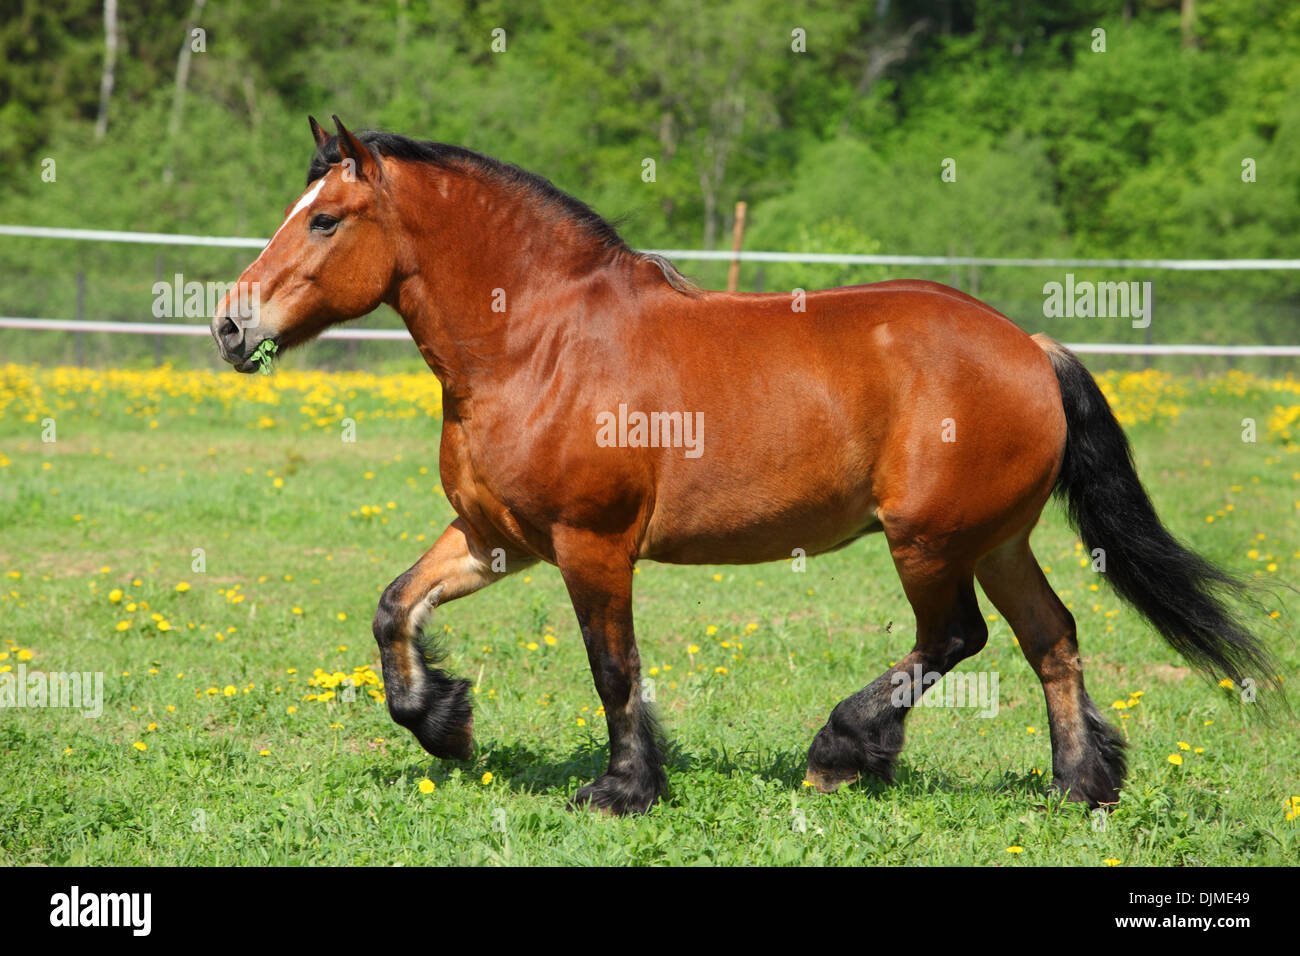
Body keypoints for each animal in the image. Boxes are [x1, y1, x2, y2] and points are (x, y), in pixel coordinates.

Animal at [211, 116, 1278, 815]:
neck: (541, 344)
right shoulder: (494, 538)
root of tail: (1029, 347)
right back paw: (1079, 785)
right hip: (997, 539)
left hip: (931, 543)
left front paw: (622, 788)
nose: (229, 323)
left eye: (323, 221)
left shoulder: (593, 546)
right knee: (1050, 638)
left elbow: (613, 667)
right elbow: (396, 606)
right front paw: (444, 720)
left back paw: (845, 750)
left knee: (957, 638)